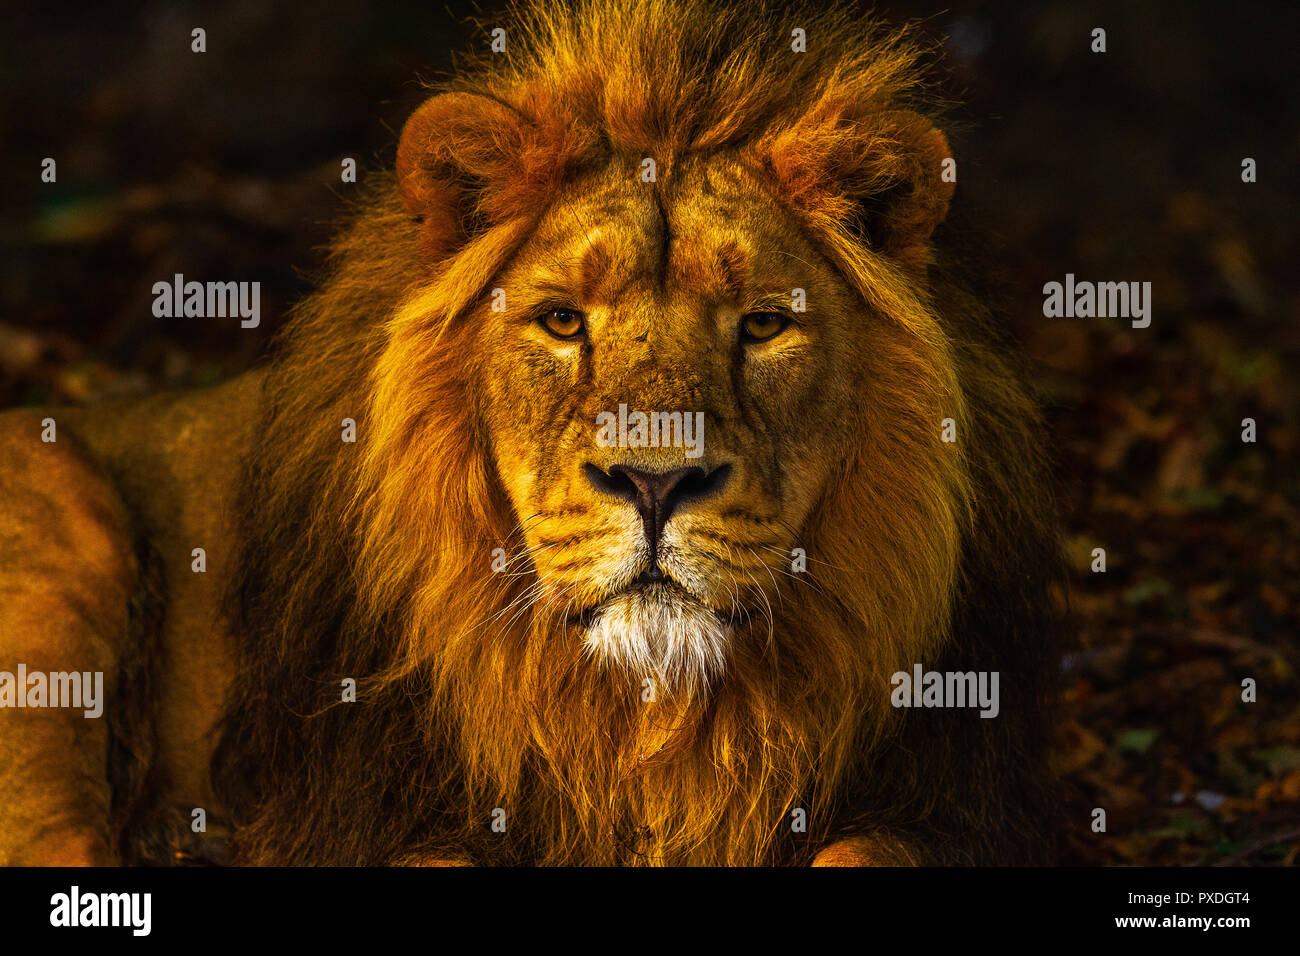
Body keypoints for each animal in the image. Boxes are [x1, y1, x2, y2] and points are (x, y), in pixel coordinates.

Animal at [0, 0, 1064, 866]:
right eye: (561, 322)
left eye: (764, 324)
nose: (654, 483)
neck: (647, 718)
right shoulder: (359, 810)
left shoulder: (949, 805)